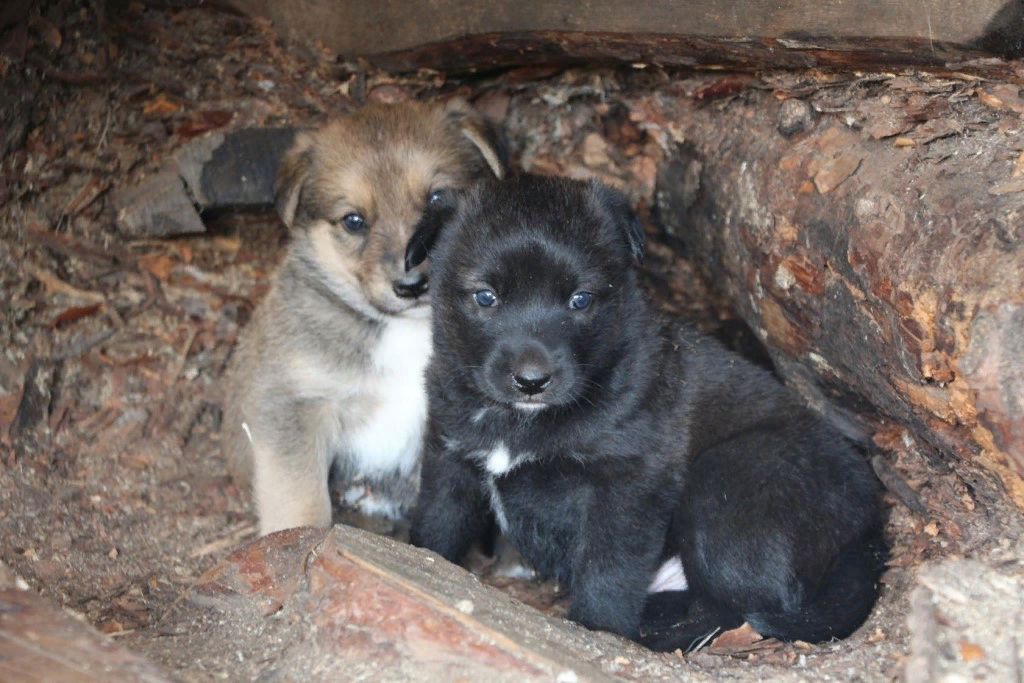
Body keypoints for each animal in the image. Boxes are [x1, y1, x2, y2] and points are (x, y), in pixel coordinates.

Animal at [228, 98, 507, 536]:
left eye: (437, 199)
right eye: (353, 221)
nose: (411, 284)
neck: (405, 331)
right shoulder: (293, 401)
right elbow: (298, 499)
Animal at [403, 174, 884, 651]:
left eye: (581, 300)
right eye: (486, 297)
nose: (532, 380)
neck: (518, 422)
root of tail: (870, 528)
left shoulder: (628, 482)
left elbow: (609, 569)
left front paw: (596, 627)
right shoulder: (450, 454)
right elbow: (437, 524)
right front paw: (422, 558)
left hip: (728, 480)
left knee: (737, 611)